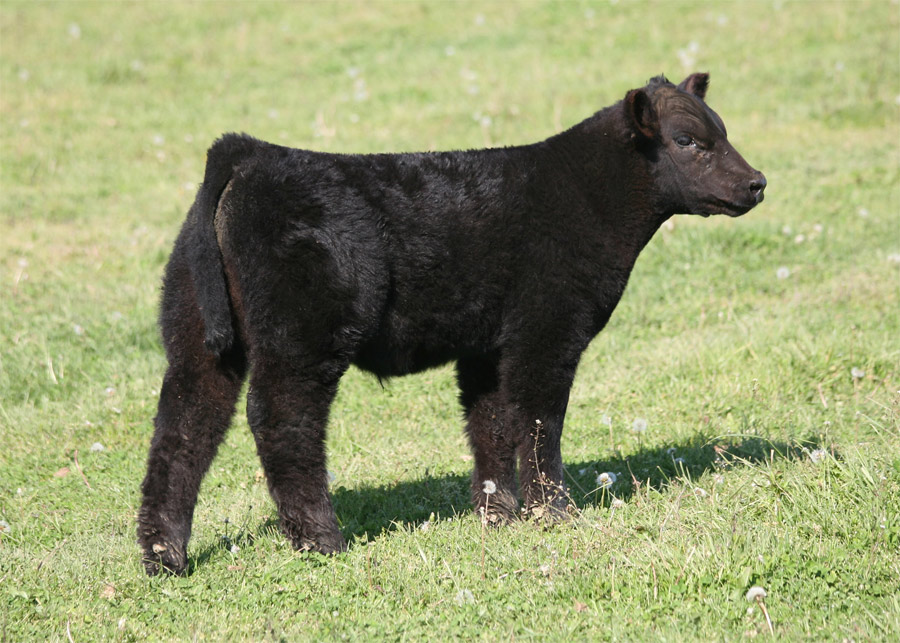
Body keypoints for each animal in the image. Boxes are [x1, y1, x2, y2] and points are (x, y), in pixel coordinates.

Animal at [138, 73, 766, 575]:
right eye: (687, 140)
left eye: (723, 130)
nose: (757, 181)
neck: (584, 197)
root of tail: (250, 152)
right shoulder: (547, 331)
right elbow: (540, 422)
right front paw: (555, 513)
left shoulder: (486, 346)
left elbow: (491, 423)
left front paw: (499, 516)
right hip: (302, 341)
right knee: (281, 420)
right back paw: (322, 541)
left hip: (196, 334)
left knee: (183, 429)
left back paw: (165, 558)